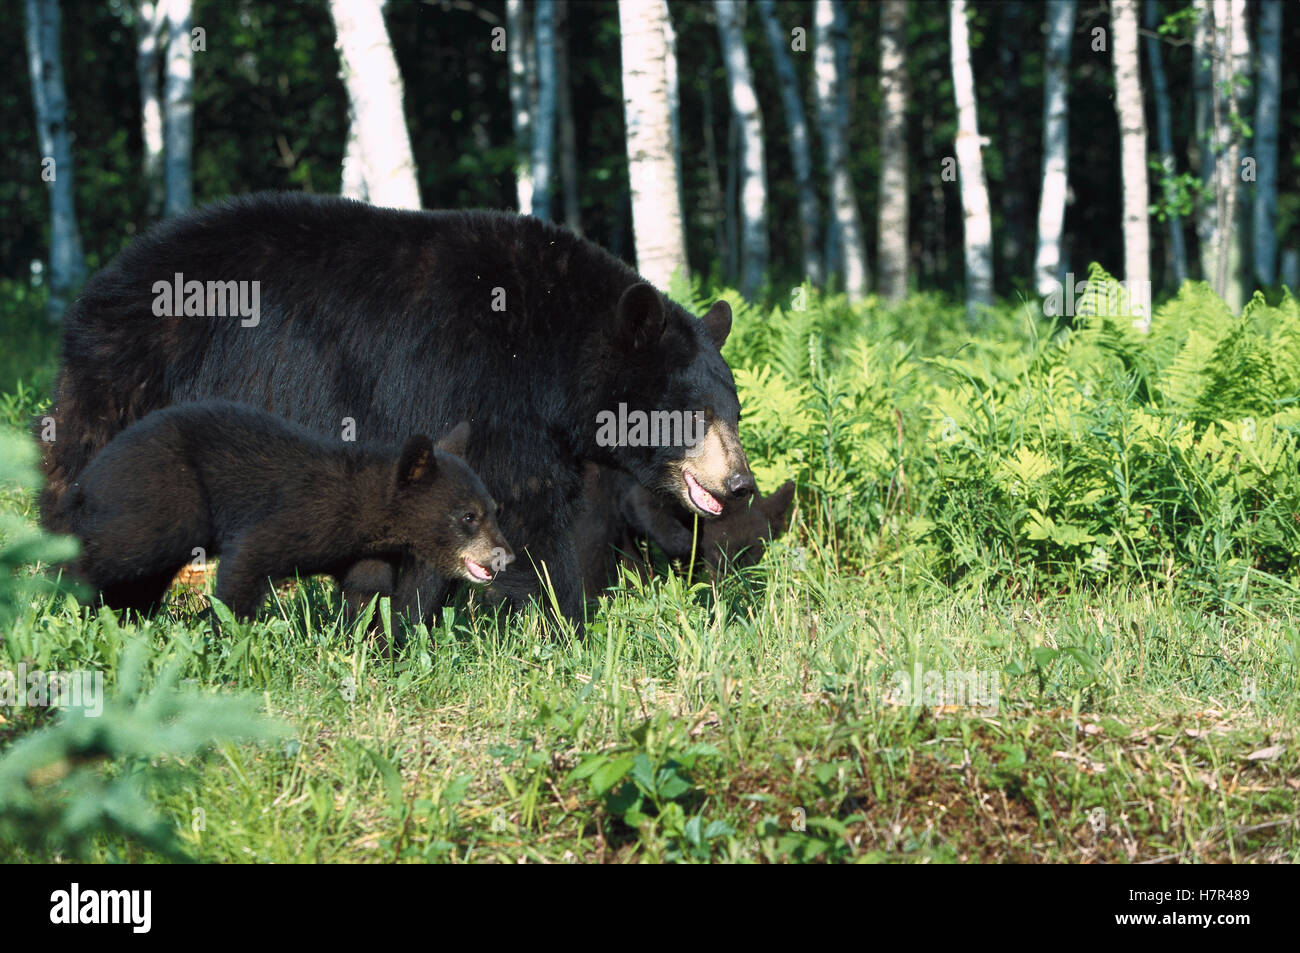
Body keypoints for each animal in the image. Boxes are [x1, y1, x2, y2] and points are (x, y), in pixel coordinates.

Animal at [54, 400, 513, 621]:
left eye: (494, 509)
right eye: (468, 517)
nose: (504, 556)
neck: (365, 505)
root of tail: (90, 476)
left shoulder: (364, 551)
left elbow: (367, 592)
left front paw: (376, 646)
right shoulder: (301, 514)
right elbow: (247, 559)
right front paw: (225, 636)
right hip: (168, 495)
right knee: (127, 544)